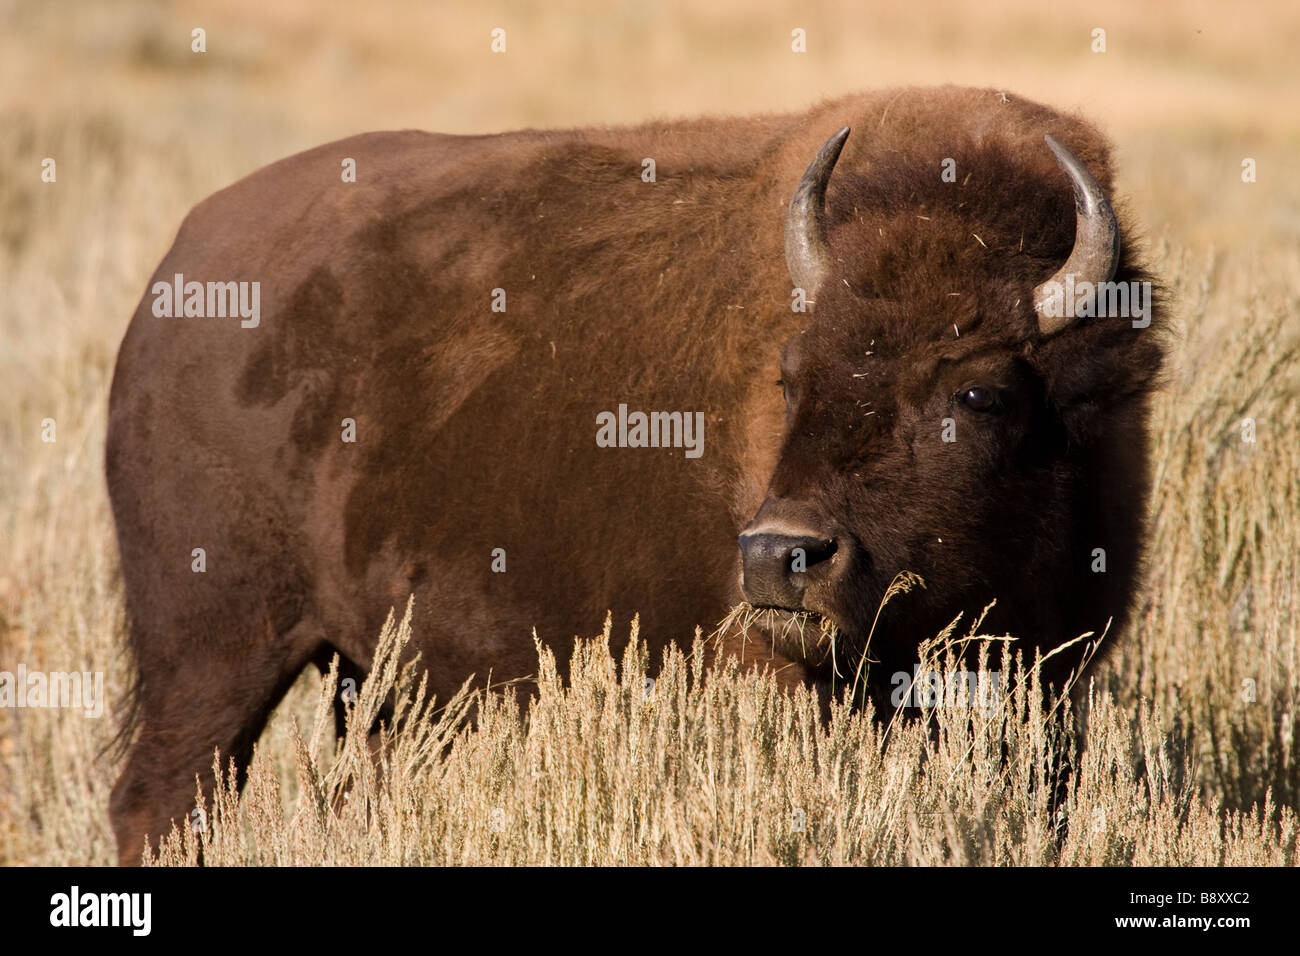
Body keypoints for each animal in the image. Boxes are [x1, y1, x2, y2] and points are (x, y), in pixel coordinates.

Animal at [106, 85, 1163, 863]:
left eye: (980, 392)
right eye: (791, 374)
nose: (781, 557)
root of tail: (174, 272)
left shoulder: (1050, 693)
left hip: (375, 678)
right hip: (215, 648)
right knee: (167, 798)